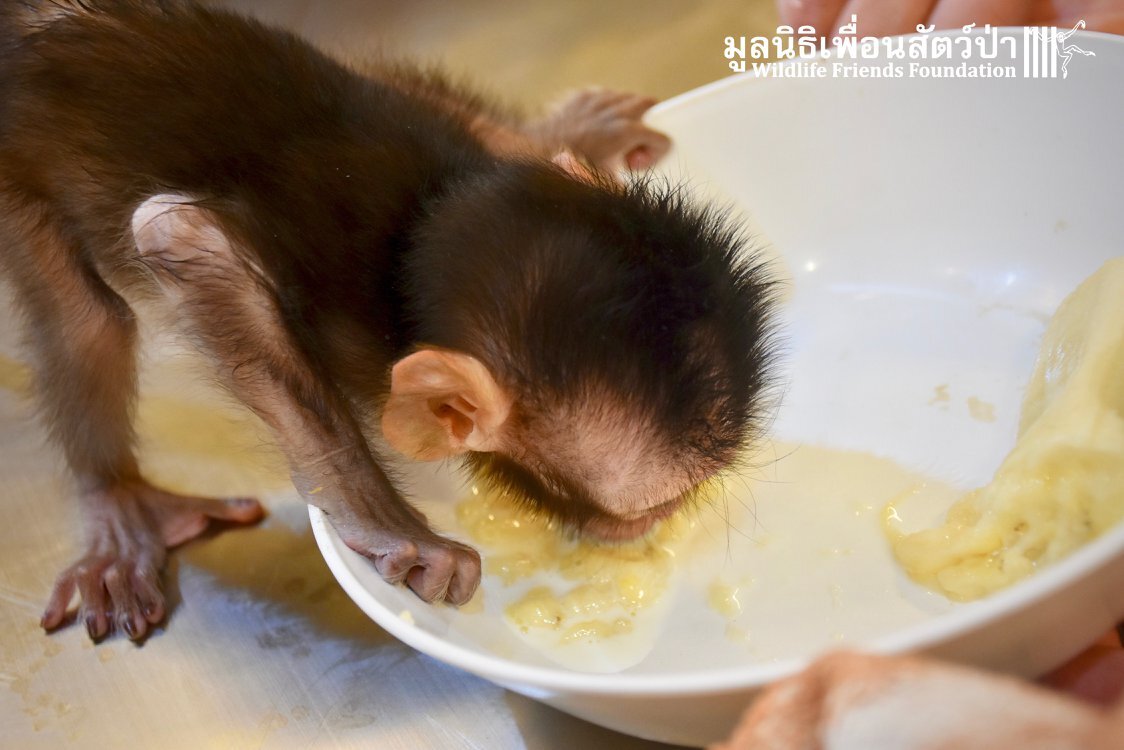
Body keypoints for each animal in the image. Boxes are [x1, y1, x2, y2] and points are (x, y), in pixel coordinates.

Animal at [0, 0, 777, 642]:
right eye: (655, 506)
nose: (663, 525)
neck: (413, 231)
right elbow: (177, 233)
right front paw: (388, 526)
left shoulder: (450, 146)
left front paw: (567, 132)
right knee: (86, 320)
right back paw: (119, 499)